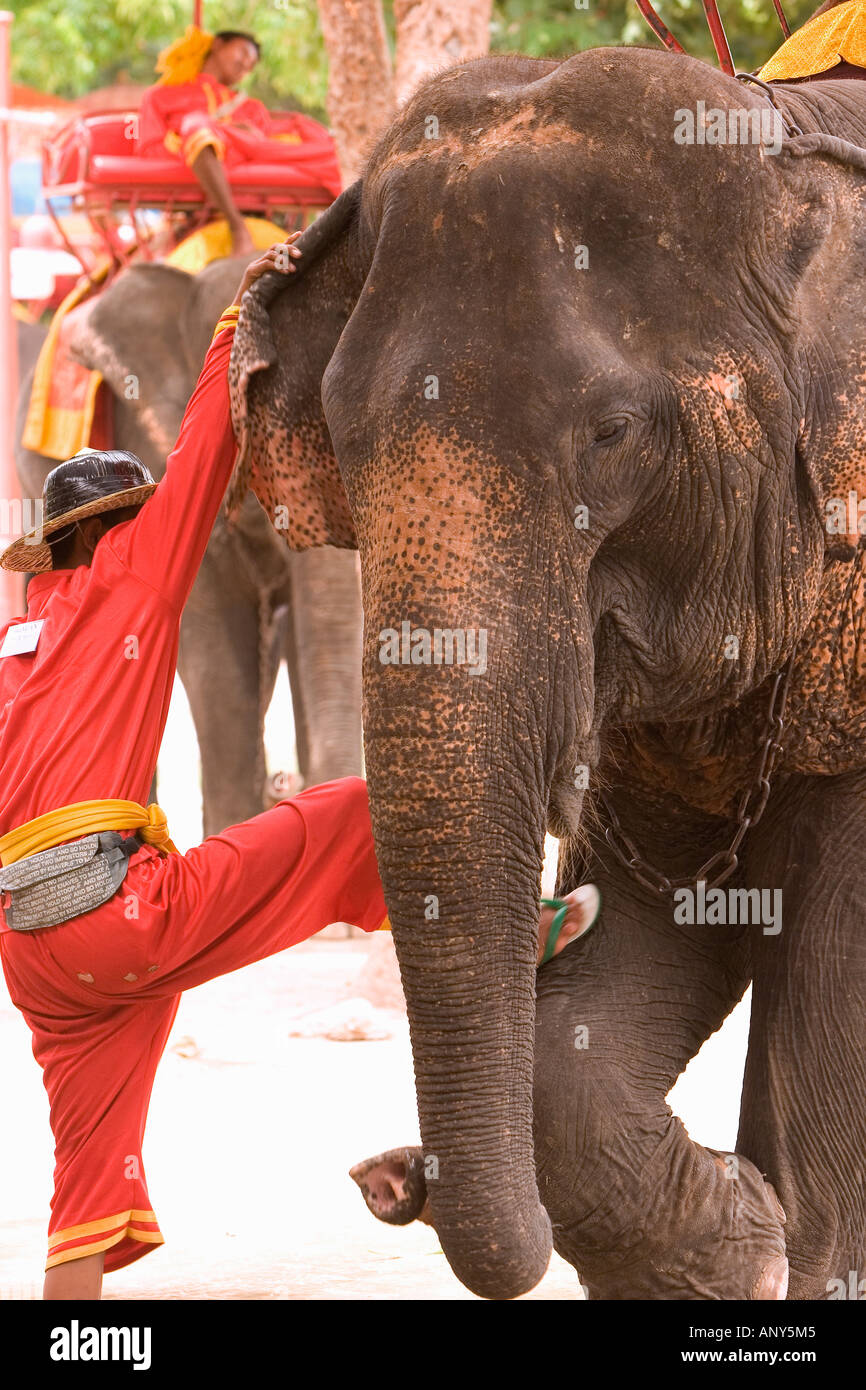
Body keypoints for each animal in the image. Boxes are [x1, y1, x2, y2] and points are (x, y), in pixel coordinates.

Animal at [227, 48, 866, 1300]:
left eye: (612, 433)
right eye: (336, 431)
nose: (389, 1179)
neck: (780, 130)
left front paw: (783, 1256)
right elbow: (631, 961)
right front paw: (738, 1243)